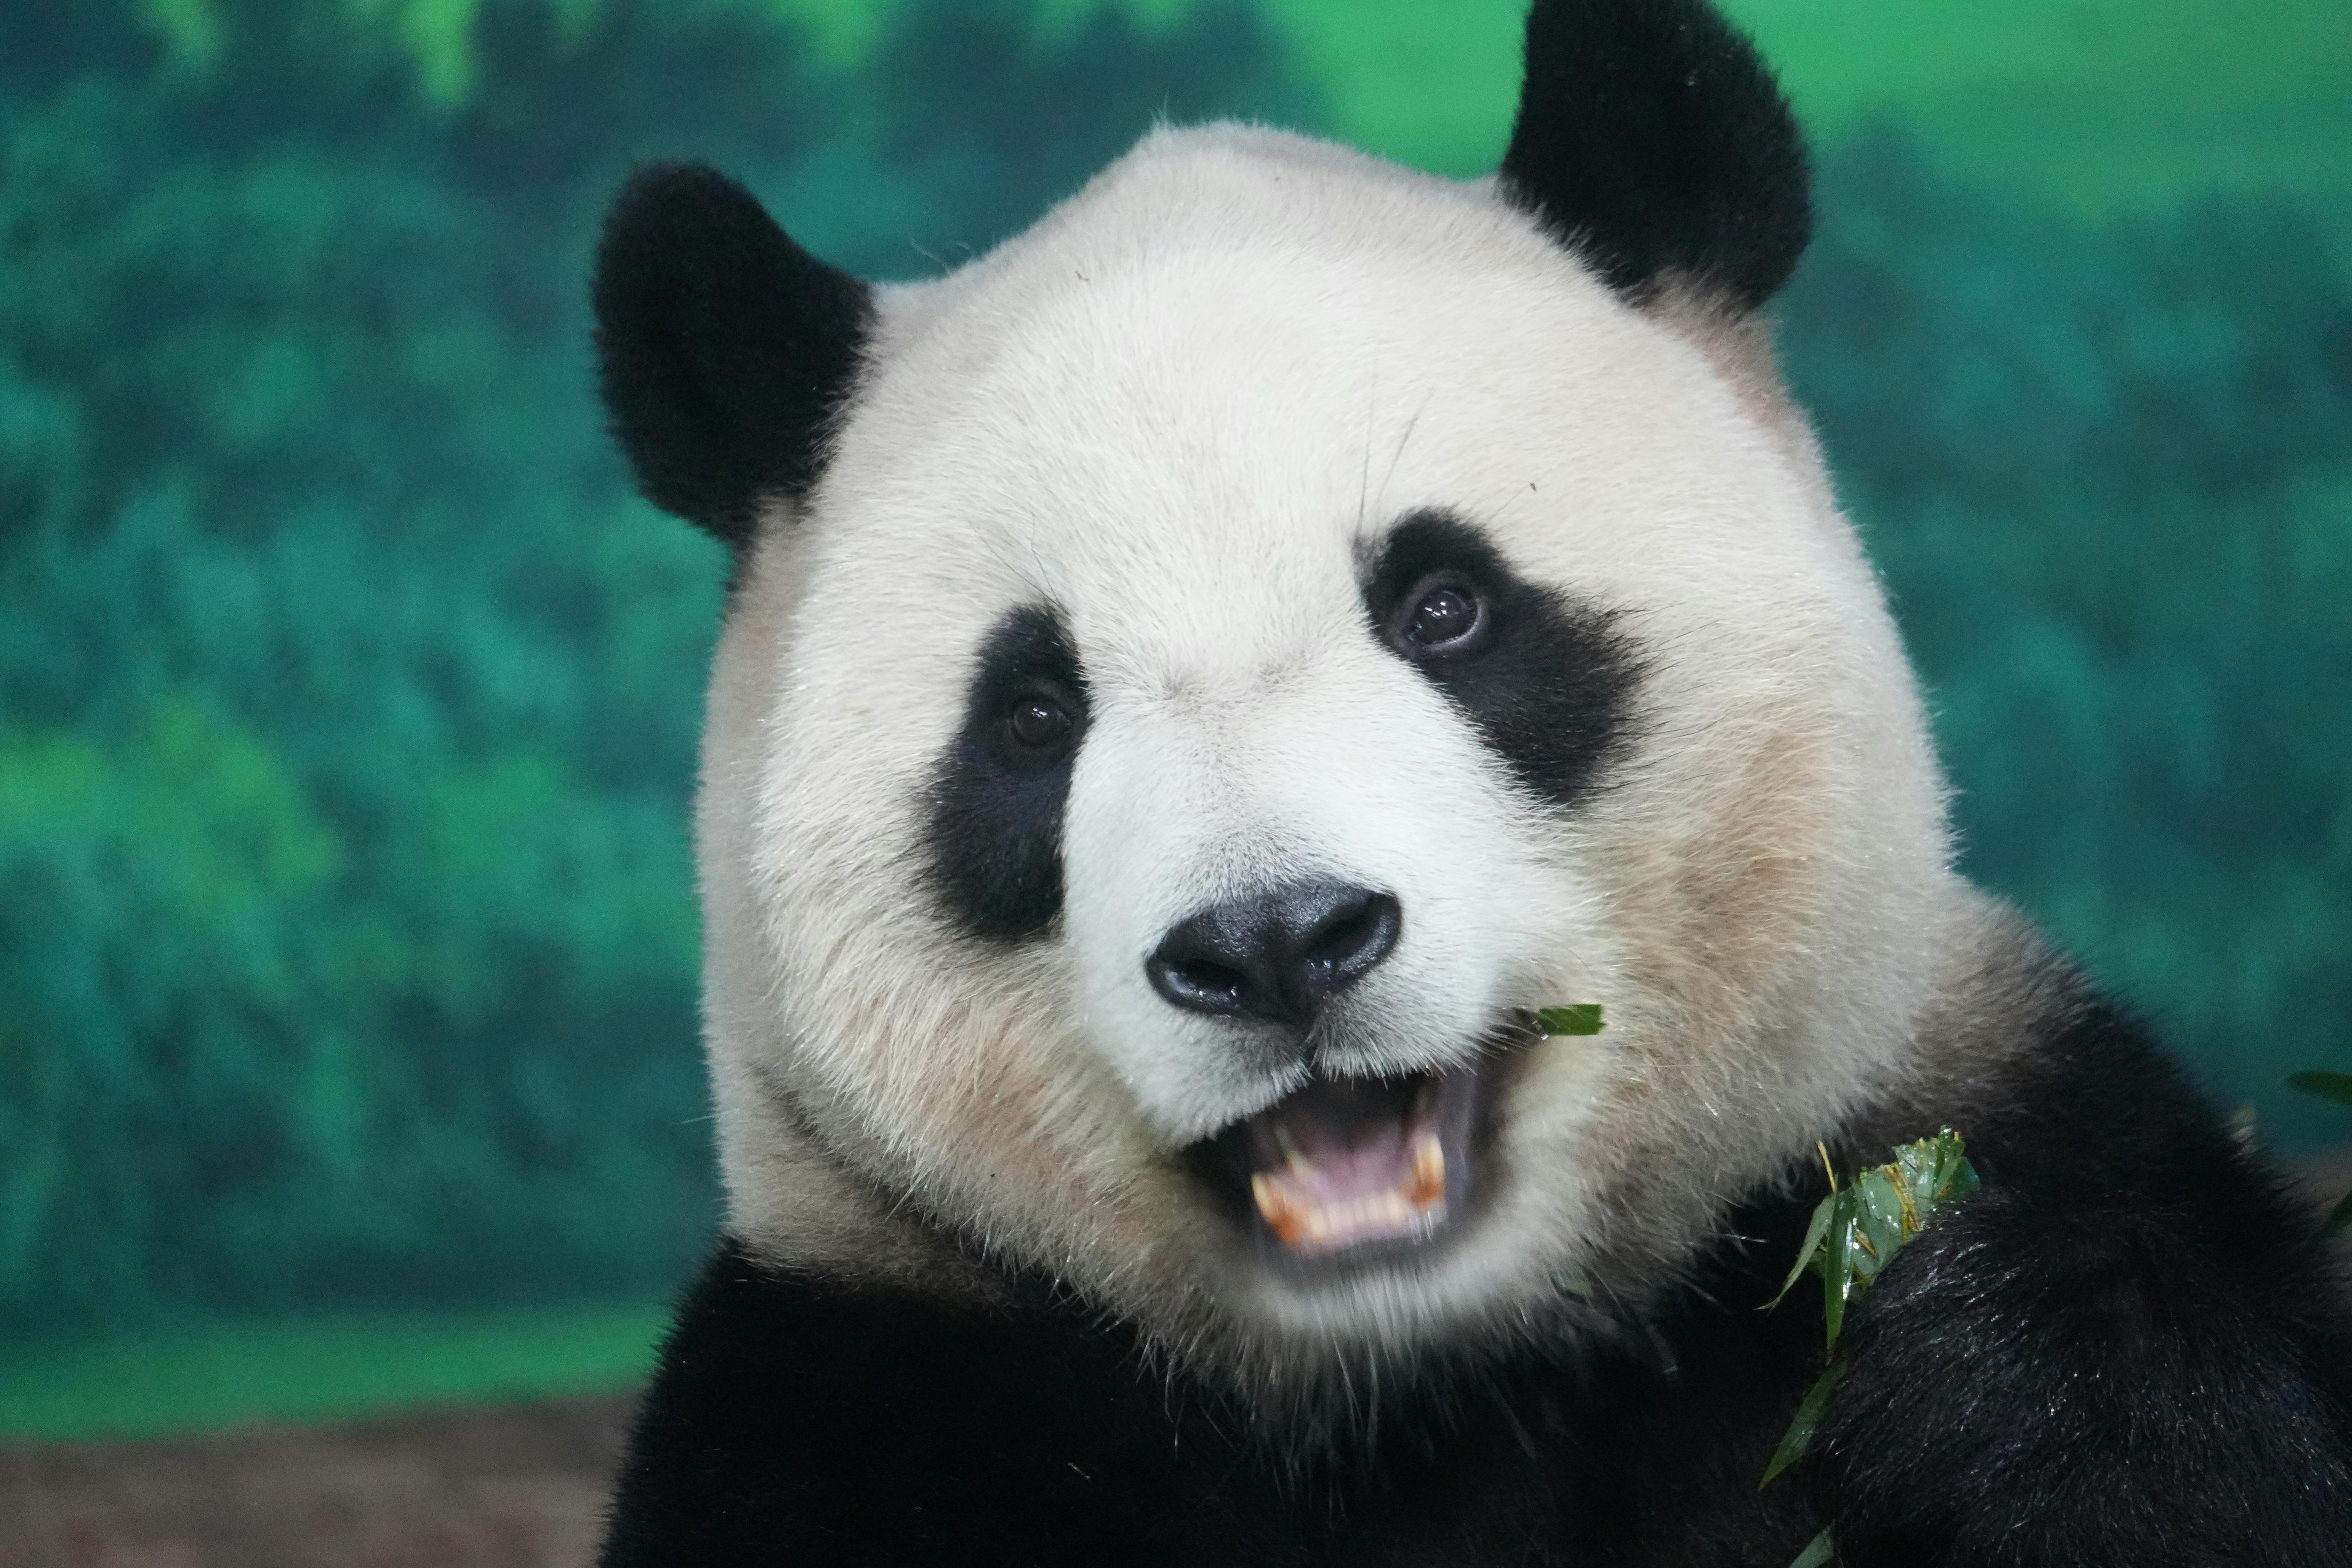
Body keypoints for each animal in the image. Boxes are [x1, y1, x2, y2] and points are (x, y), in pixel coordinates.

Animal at [587, 0, 2352, 1562]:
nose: (1277, 941)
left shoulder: (1985, 1111)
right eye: (1029, 717)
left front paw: (2013, 1369)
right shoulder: (863, 1388)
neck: (1433, 1377)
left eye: (1443, 608)